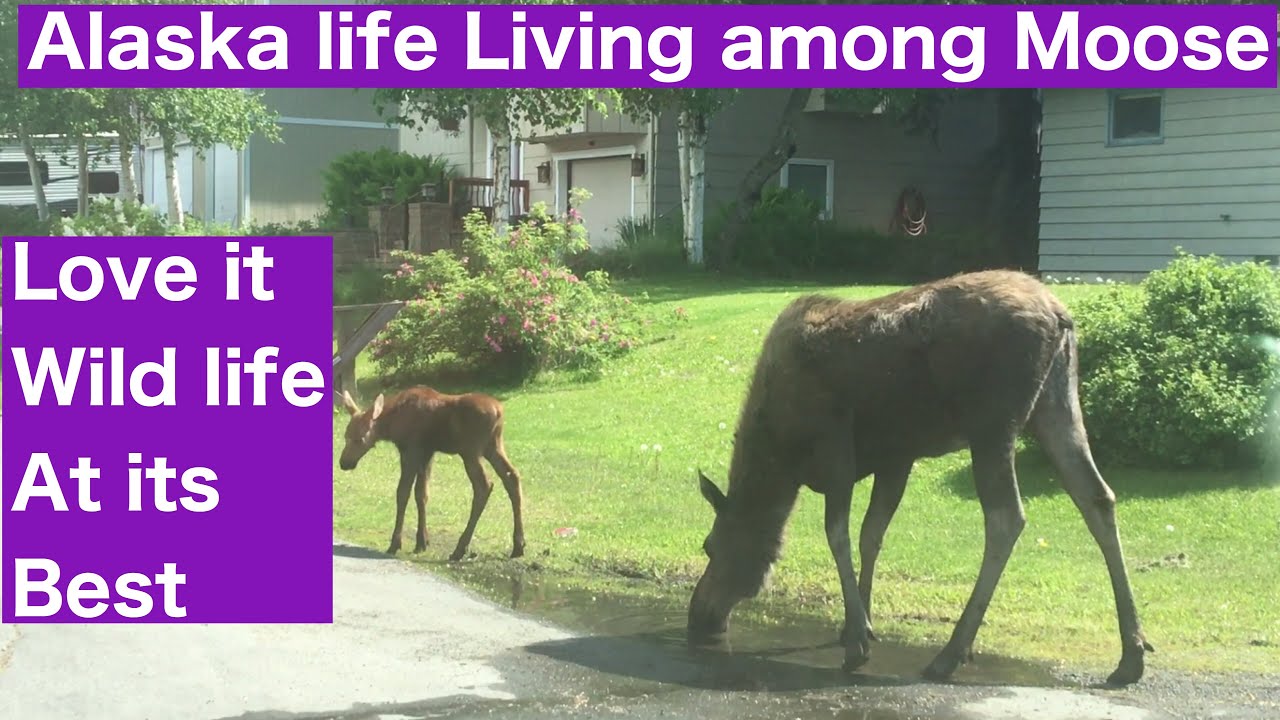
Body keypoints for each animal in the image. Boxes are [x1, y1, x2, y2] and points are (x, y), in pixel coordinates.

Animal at [336, 386, 526, 563]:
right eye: (345, 436)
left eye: (359, 438)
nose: (344, 463)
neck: (392, 423)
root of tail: (499, 412)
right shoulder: (427, 452)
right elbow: (422, 494)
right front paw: (422, 542)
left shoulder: (411, 449)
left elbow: (403, 493)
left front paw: (395, 543)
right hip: (493, 446)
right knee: (512, 476)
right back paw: (518, 545)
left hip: (471, 450)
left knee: (484, 485)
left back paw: (460, 549)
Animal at [688, 269, 1153, 687]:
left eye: (709, 544)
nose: (696, 617)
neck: (780, 456)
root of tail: (1061, 318)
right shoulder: (896, 458)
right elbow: (871, 534)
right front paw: (859, 623)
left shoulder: (836, 449)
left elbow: (837, 534)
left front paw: (856, 643)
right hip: (1057, 406)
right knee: (1097, 496)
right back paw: (1131, 655)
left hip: (992, 424)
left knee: (1007, 517)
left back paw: (951, 654)